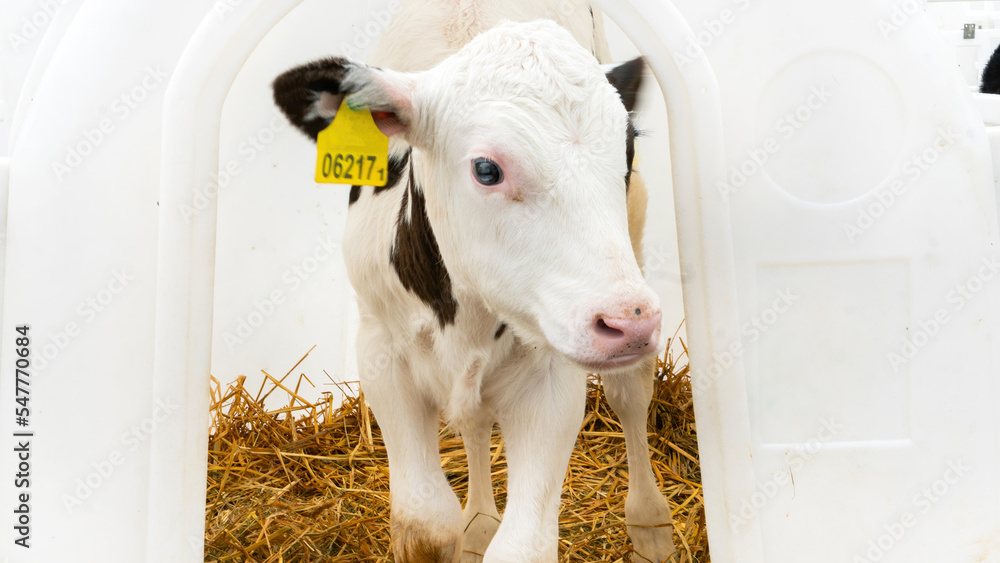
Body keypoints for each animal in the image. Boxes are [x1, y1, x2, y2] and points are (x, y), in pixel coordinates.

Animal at [272, 2, 676, 562]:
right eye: (486, 169)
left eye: (628, 150)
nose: (630, 322)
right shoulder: (380, 349)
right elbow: (425, 523)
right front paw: (466, 529)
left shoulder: (551, 373)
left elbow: (523, 544)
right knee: (476, 423)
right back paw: (478, 523)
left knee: (629, 393)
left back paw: (650, 525)